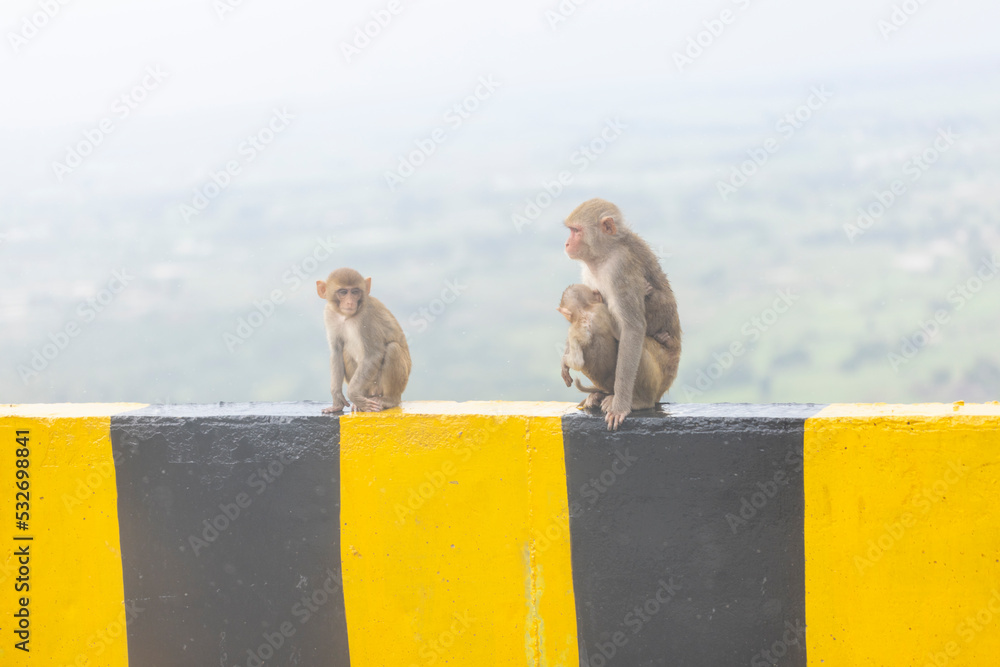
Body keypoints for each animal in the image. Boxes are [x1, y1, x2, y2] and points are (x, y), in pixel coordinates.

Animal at [316, 267, 411, 413]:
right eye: (343, 292)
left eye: (355, 292)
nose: (350, 302)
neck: (347, 316)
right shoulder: (329, 314)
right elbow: (336, 351)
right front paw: (337, 400)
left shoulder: (366, 318)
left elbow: (373, 354)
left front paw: (353, 395)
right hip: (369, 386)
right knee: (345, 352)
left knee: (393, 348)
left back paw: (389, 400)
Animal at [564, 198, 682, 430]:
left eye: (576, 231)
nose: (566, 243)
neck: (604, 255)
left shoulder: (621, 268)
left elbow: (631, 329)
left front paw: (620, 406)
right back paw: (599, 394)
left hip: (661, 378)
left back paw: (637, 400)